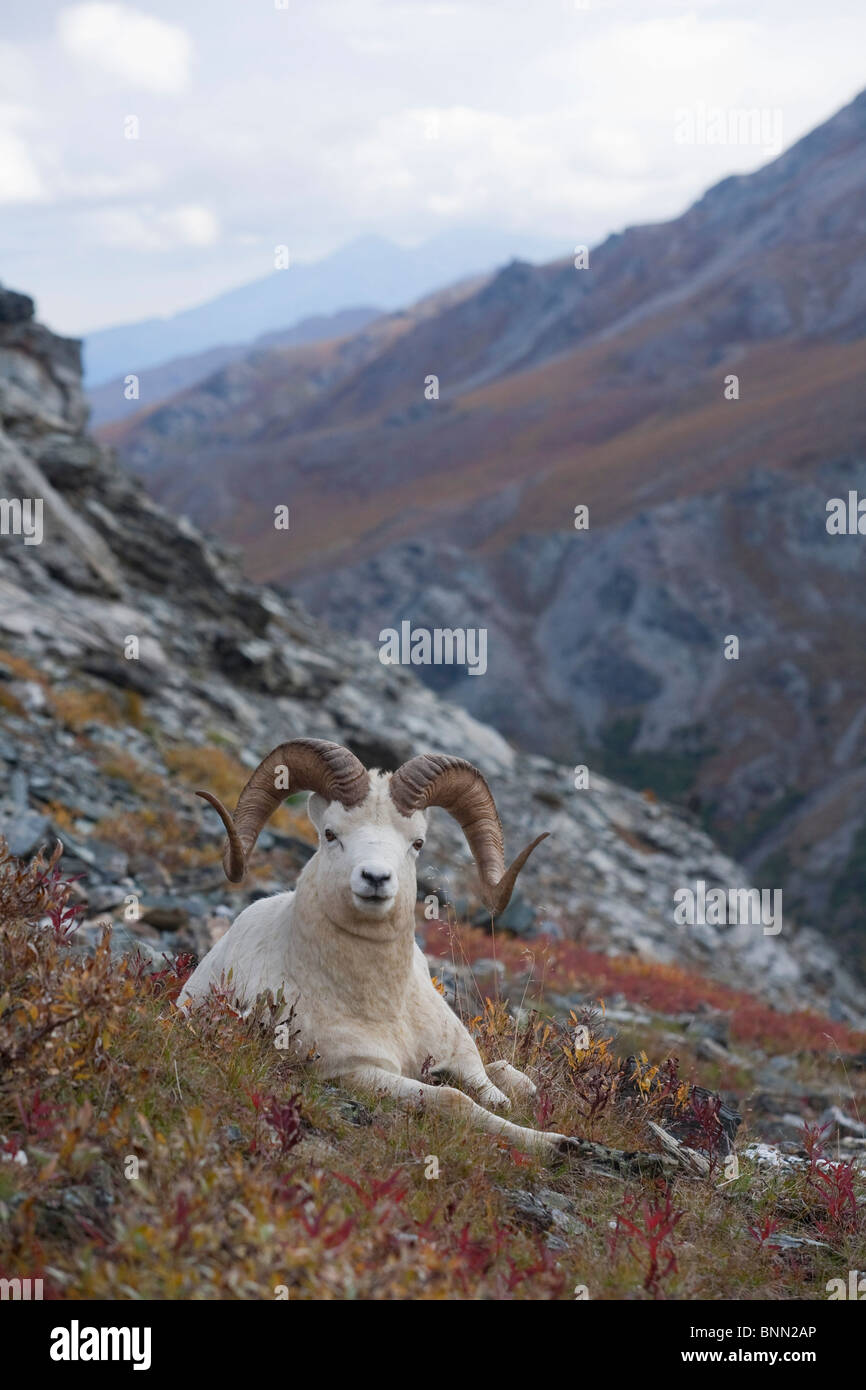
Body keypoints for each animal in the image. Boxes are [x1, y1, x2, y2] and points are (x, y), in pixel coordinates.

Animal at [179, 738, 579, 1157]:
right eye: (330, 833)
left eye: (416, 843)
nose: (375, 878)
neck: (382, 1008)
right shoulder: (359, 1072)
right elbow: (455, 1099)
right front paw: (559, 1146)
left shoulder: (460, 1053)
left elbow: (494, 1094)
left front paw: (561, 1140)